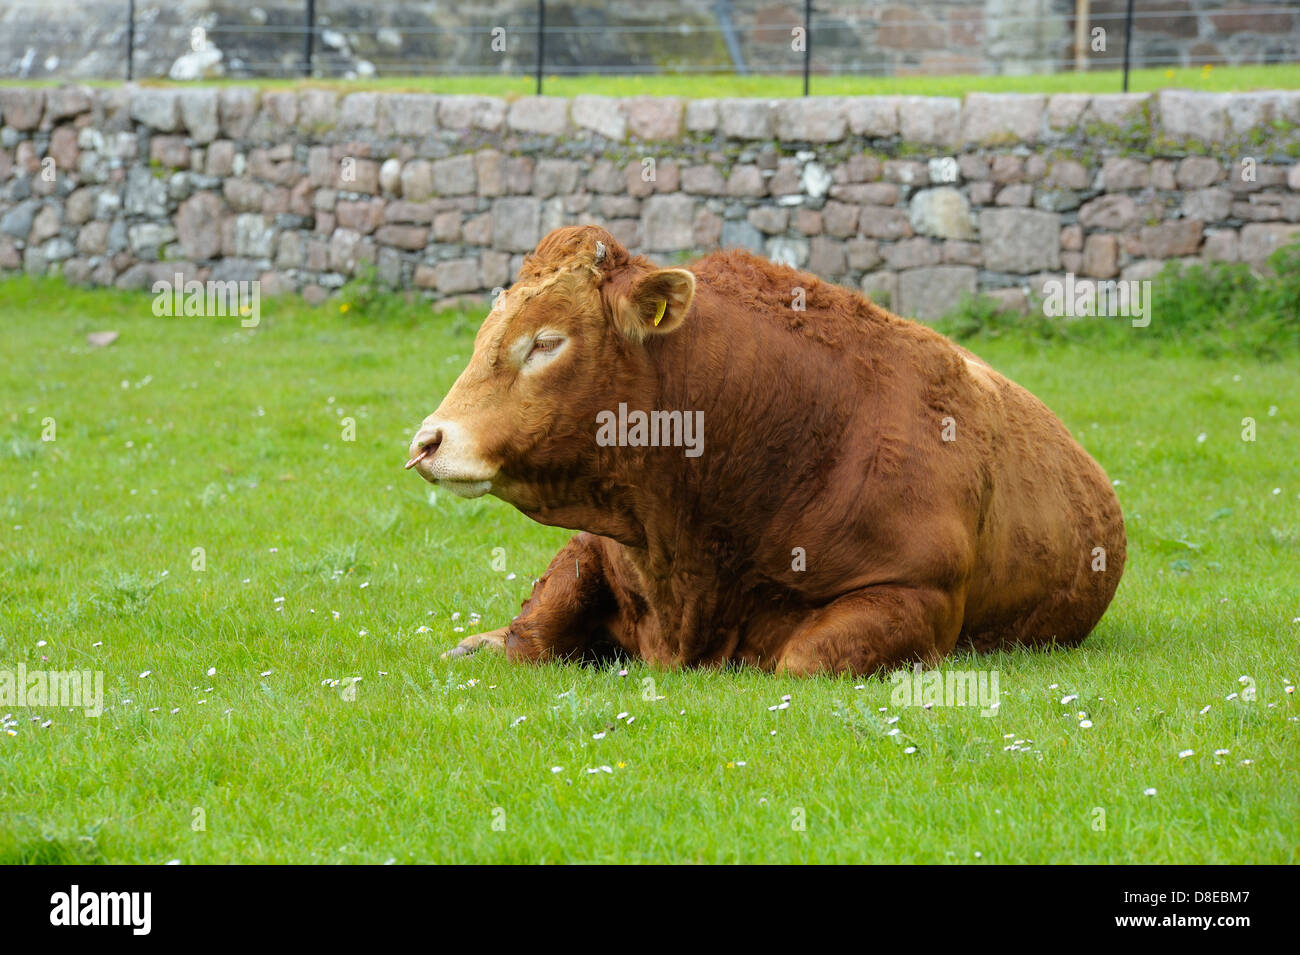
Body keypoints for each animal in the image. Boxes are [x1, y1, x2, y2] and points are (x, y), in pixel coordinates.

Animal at [406, 225, 1126, 676]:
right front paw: (484, 642)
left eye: (547, 342)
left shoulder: (916, 591)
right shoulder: (598, 543)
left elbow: (801, 658)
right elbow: (534, 628)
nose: (427, 441)